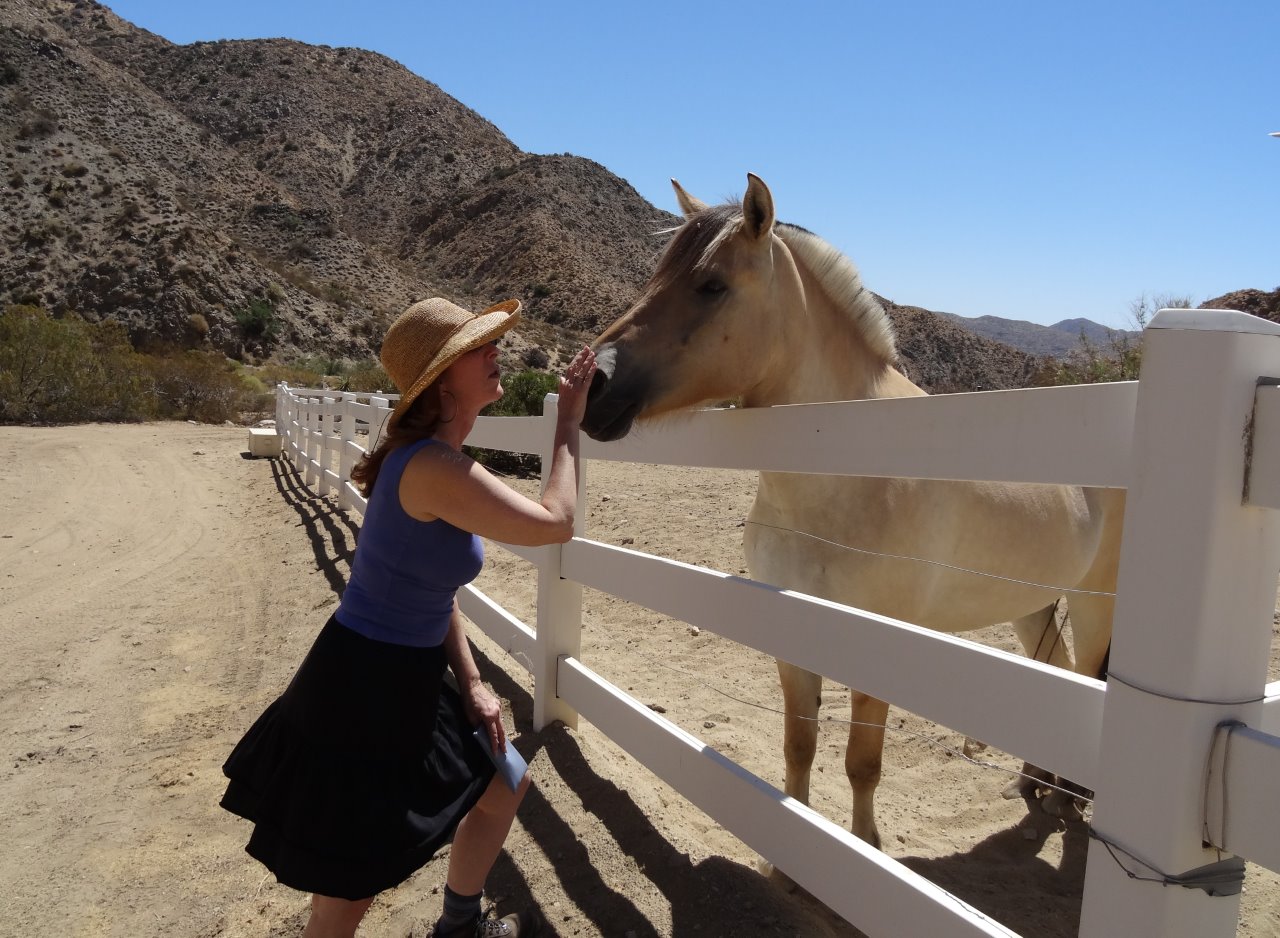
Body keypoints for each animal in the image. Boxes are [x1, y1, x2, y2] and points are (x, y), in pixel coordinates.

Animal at [581, 173, 1124, 851]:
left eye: (711, 284)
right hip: (1034, 605)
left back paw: (1068, 797)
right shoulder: (793, 637)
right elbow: (799, 746)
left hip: (1096, 604)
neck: (844, 469)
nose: (589, 382)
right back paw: (1033, 786)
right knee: (1058, 674)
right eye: (658, 275)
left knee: (1090, 681)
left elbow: (862, 763)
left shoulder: (872, 647)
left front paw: (864, 843)